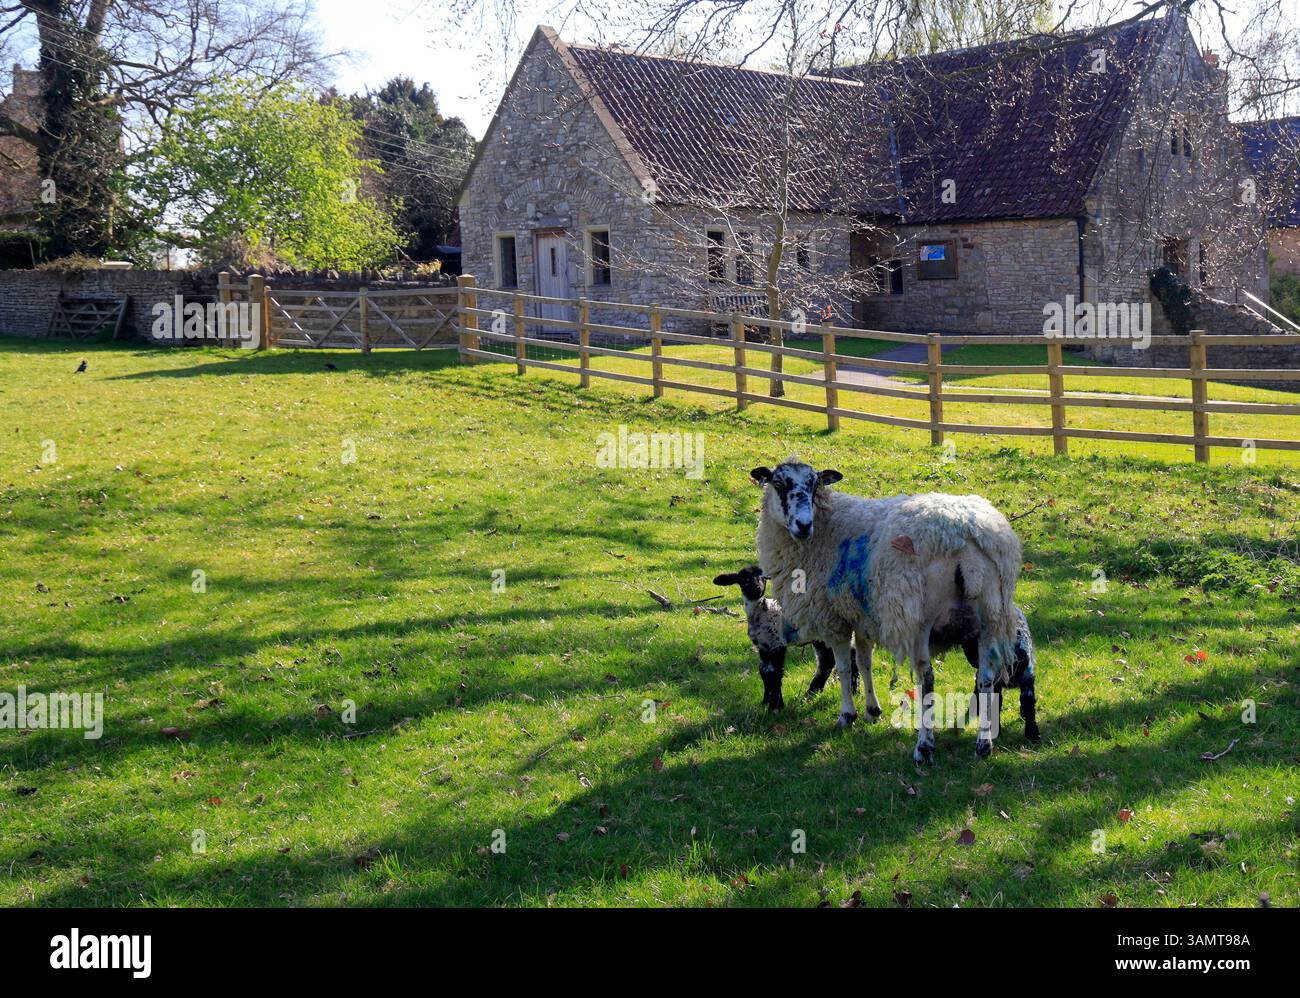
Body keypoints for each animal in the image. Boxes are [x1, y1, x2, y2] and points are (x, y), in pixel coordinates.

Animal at [712, 565, 858, 710]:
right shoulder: (763, 646)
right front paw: (766, 702)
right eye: (743, 579)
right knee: (827, 660)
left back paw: (852, 690)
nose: (756, 588)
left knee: (850, 657)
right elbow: (764, 671)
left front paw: (776, 705)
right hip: (820, 637)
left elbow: (774, 672)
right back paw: (812, 693)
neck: (761, 612)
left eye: (763, 577)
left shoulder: (777, 643)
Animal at [752, 458, 1023, 762]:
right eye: (778, 484)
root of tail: (966, 536)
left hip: (916, 617)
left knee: (927, 677)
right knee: (986, 677)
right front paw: (873, 711)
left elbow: (844, 666)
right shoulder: (862, 614)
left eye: (814, 484)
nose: (803, 524)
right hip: (992, 615)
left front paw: (847, 715)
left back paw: (924, 747)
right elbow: (864, 662)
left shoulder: (834, 619)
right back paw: (984, 744)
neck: (826, 526)